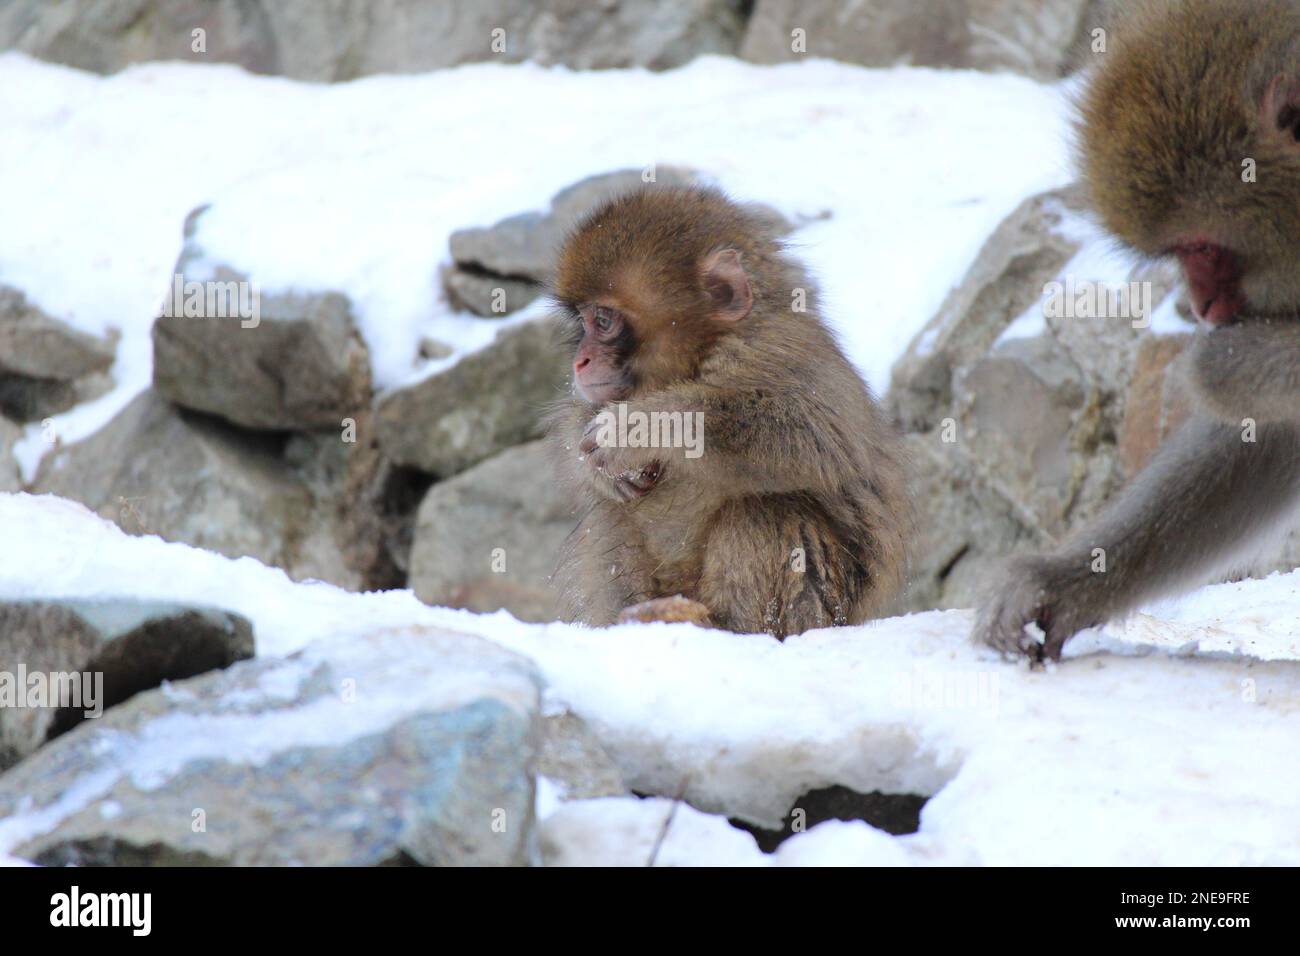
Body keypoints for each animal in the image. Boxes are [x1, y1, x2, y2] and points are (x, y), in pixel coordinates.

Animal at [545, 186, 909, 639]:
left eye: (604, 320)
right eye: (583, 322)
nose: (580, 361)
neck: (702, 358)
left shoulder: (781, 352)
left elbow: (815, 434)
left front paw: (639, 428)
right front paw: (606, 467)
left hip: (825, 612)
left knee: (768, 506)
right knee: (614, 516)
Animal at [976, 0, 1300, 663]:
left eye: (1206, 247)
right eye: (1187, 252)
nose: (1202, 307)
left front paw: (1224, 365)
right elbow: (1272, 441)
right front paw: (1060, 583)